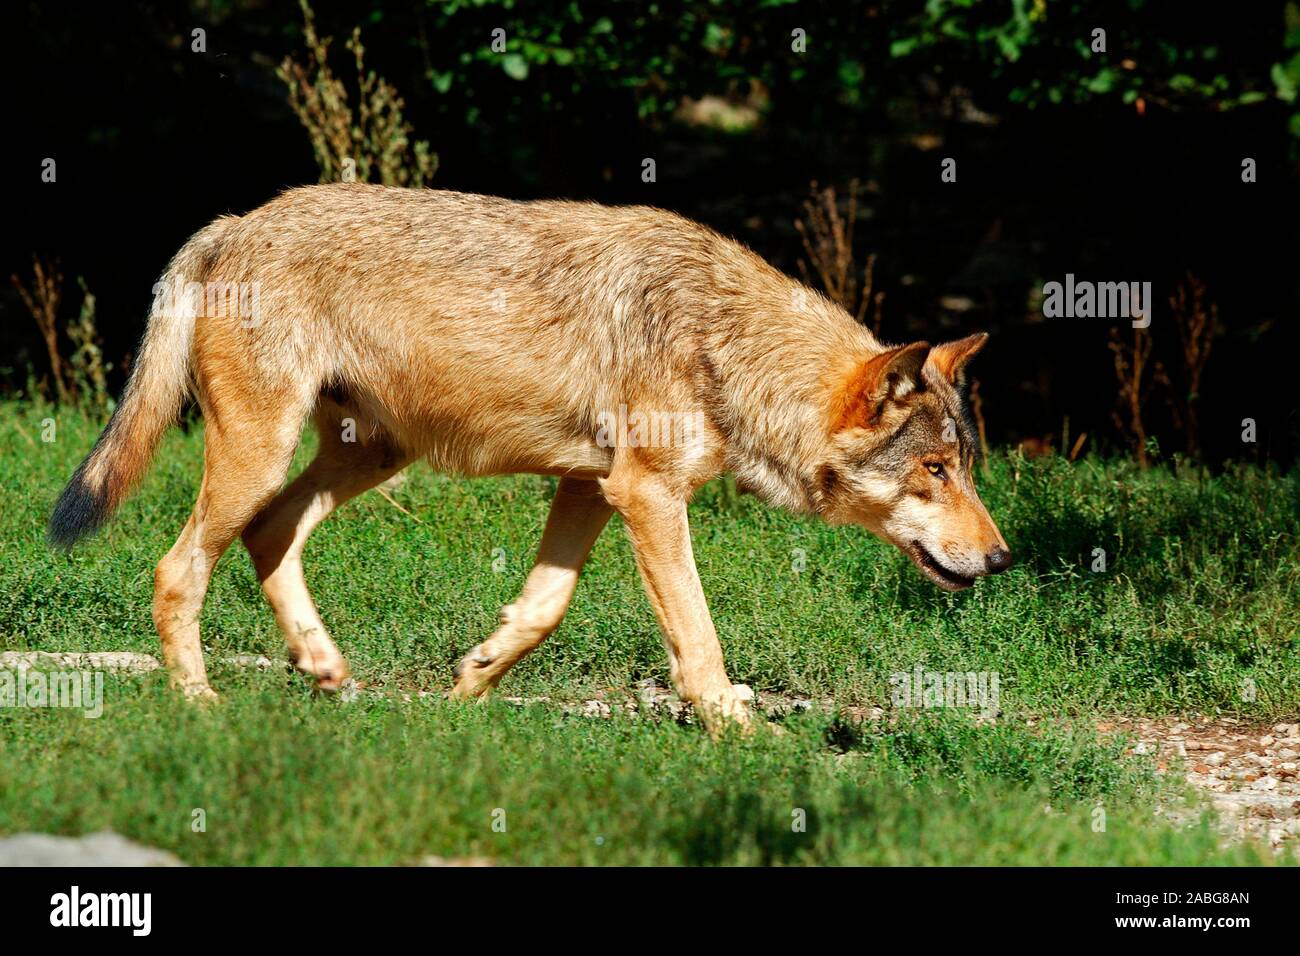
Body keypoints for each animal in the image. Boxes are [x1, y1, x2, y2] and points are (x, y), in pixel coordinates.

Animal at [49, 184, 1010, 731]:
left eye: (964, 467)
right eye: (935, 472)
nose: (1003, 559)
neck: (723, 340)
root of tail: (230, 224)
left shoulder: (590, 487)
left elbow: (546, 608)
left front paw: (467, 693)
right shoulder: (646, 494)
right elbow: (698, 640)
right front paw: (742, 733)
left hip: (361, 459)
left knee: (270, 536)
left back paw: (323, 669)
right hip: (263, 454)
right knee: (177, 567)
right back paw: (199, 705)